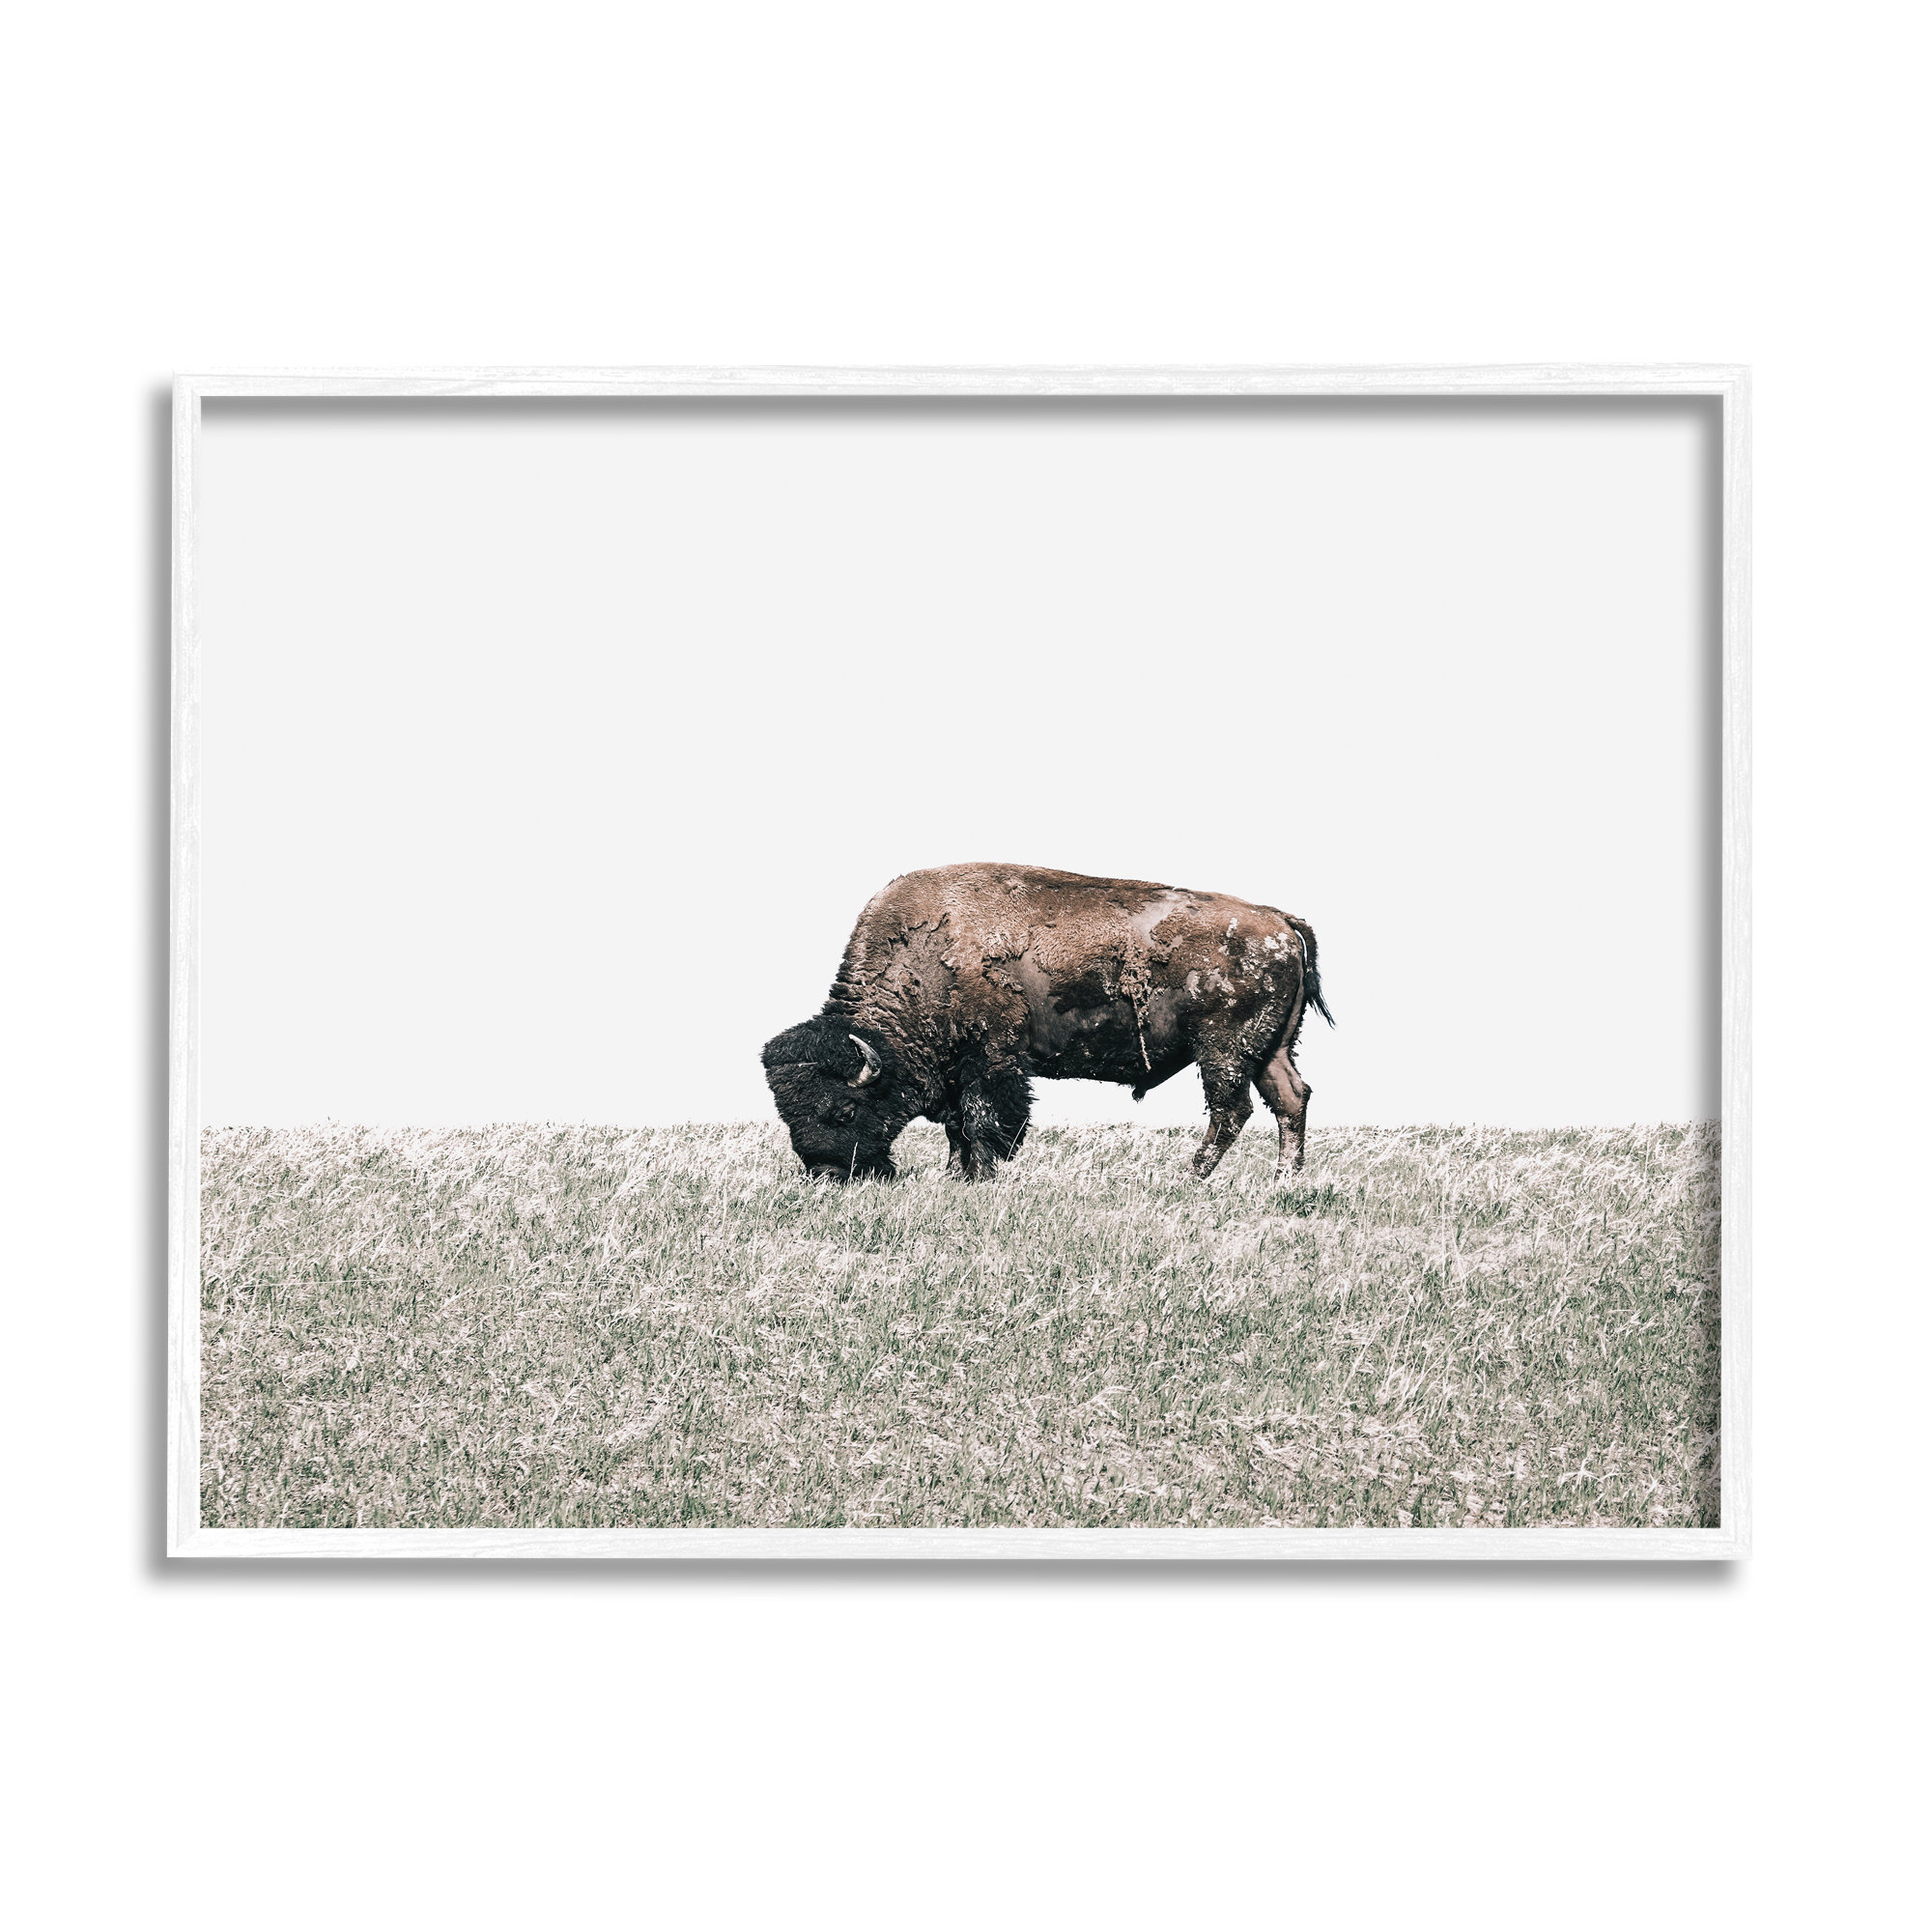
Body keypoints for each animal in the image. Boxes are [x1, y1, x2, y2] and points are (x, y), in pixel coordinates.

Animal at [761, 864, 1332, 1183]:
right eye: (787, 1114)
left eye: (841, 1109)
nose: (827, 1176)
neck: (926, 954)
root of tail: (1278, 920)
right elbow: (956, 1126)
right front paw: (956, 1175)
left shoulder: (992, 1059)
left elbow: (982, 1120)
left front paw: (981, 1176)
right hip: (1270, 1049)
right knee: (1290, 1099)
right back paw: (1283, 1181)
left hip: (1224, 1050)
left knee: (1231, 1110)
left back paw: (1187, 1178)